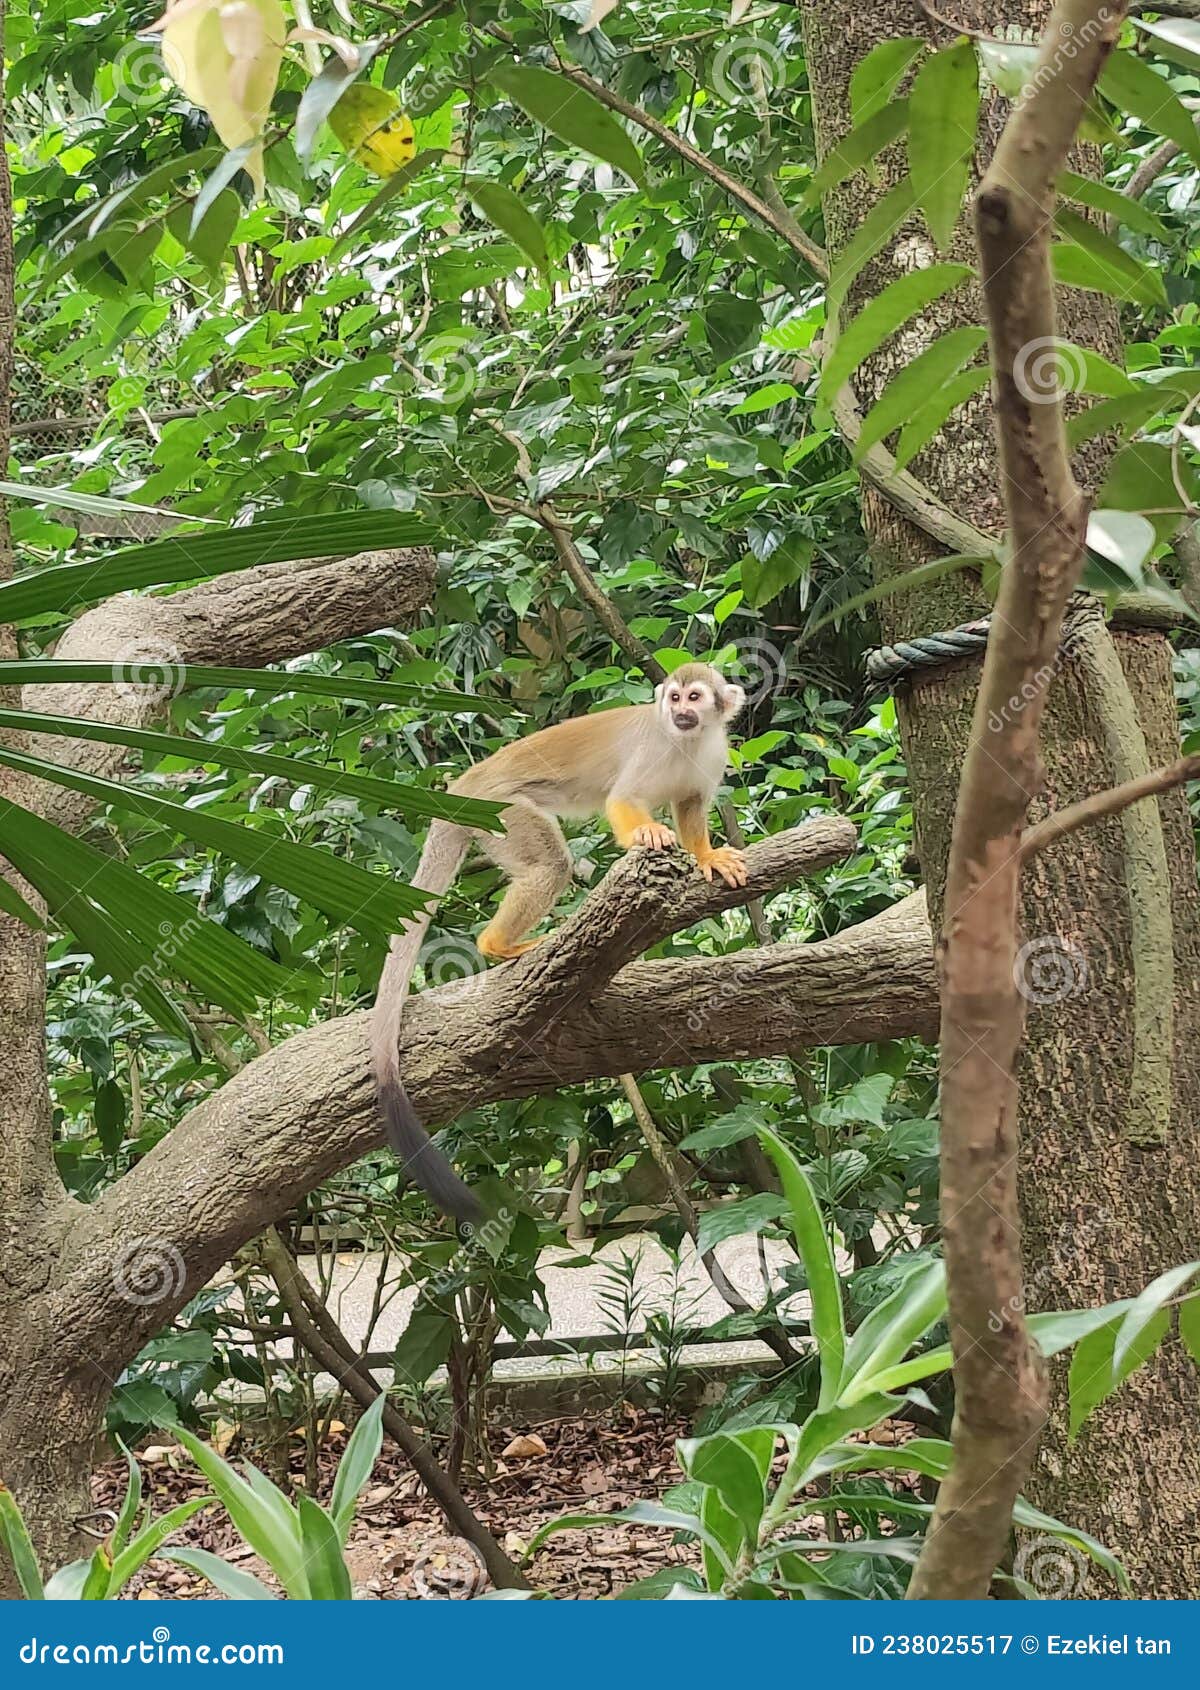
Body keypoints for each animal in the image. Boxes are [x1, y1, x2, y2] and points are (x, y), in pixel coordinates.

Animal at [370, 662, 749, 1221]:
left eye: (696, 698)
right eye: (675, 698)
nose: (680, 712)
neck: (687, 741)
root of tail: (464, 783)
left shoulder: (710, 758)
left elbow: (690, 805)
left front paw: (707, 857)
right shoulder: (652, 747)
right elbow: (623, 800)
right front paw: (646, 837)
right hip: (497, 810)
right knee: (550, 863)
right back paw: (500, 946)